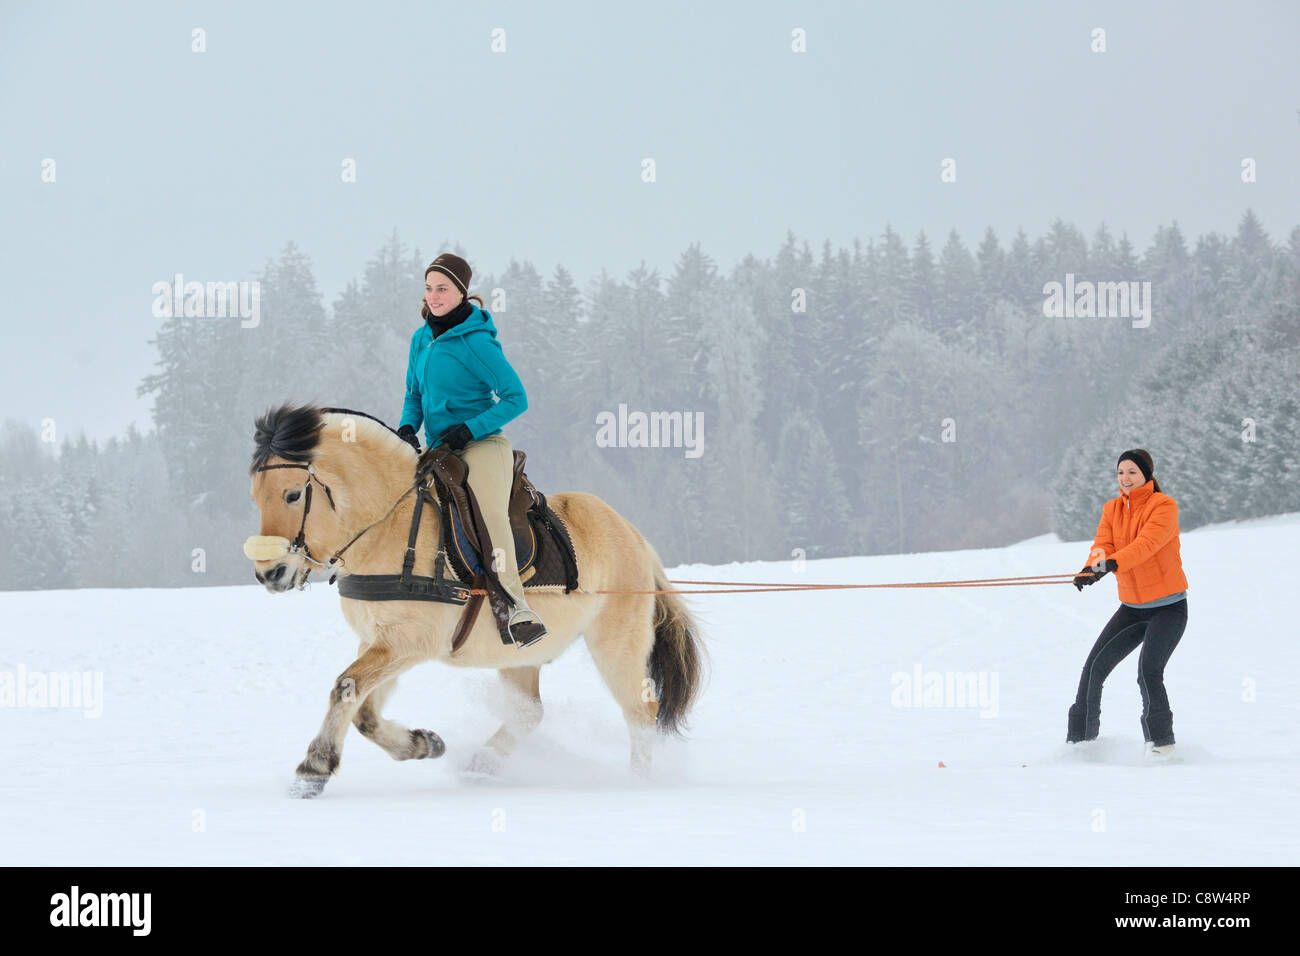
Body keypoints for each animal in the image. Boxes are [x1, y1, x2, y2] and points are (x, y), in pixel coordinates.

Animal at [242, 403, 704, 797]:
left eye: (292, 494)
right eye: (254, 496)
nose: (270, 574)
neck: (390, 525)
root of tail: (635, 536)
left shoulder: (408, 641)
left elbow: (345, 688)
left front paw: (313, 769)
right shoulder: (379, 640)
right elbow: (363, 710)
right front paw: (422, 743)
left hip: (617, 645)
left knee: (640, 711)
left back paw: (637, 783)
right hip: (519, 654)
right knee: (529, 713)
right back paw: (481, 764)